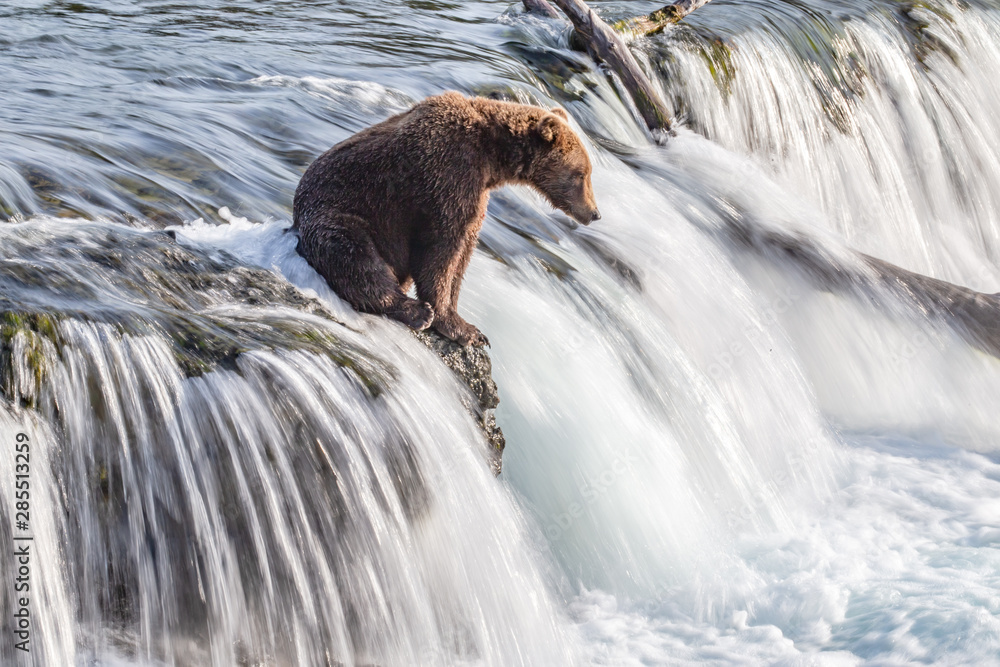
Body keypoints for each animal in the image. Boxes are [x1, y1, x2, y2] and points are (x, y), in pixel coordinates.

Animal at [293, 91, 601, 346]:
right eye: (581, 174)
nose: (595, 213)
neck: (492, 159)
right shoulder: (448, 177)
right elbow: (440, 253)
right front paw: (461, 328)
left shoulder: (476, 195)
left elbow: (461, 256)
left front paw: (460, 318)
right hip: (340, 215)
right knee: (356, 258)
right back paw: (413, 310)